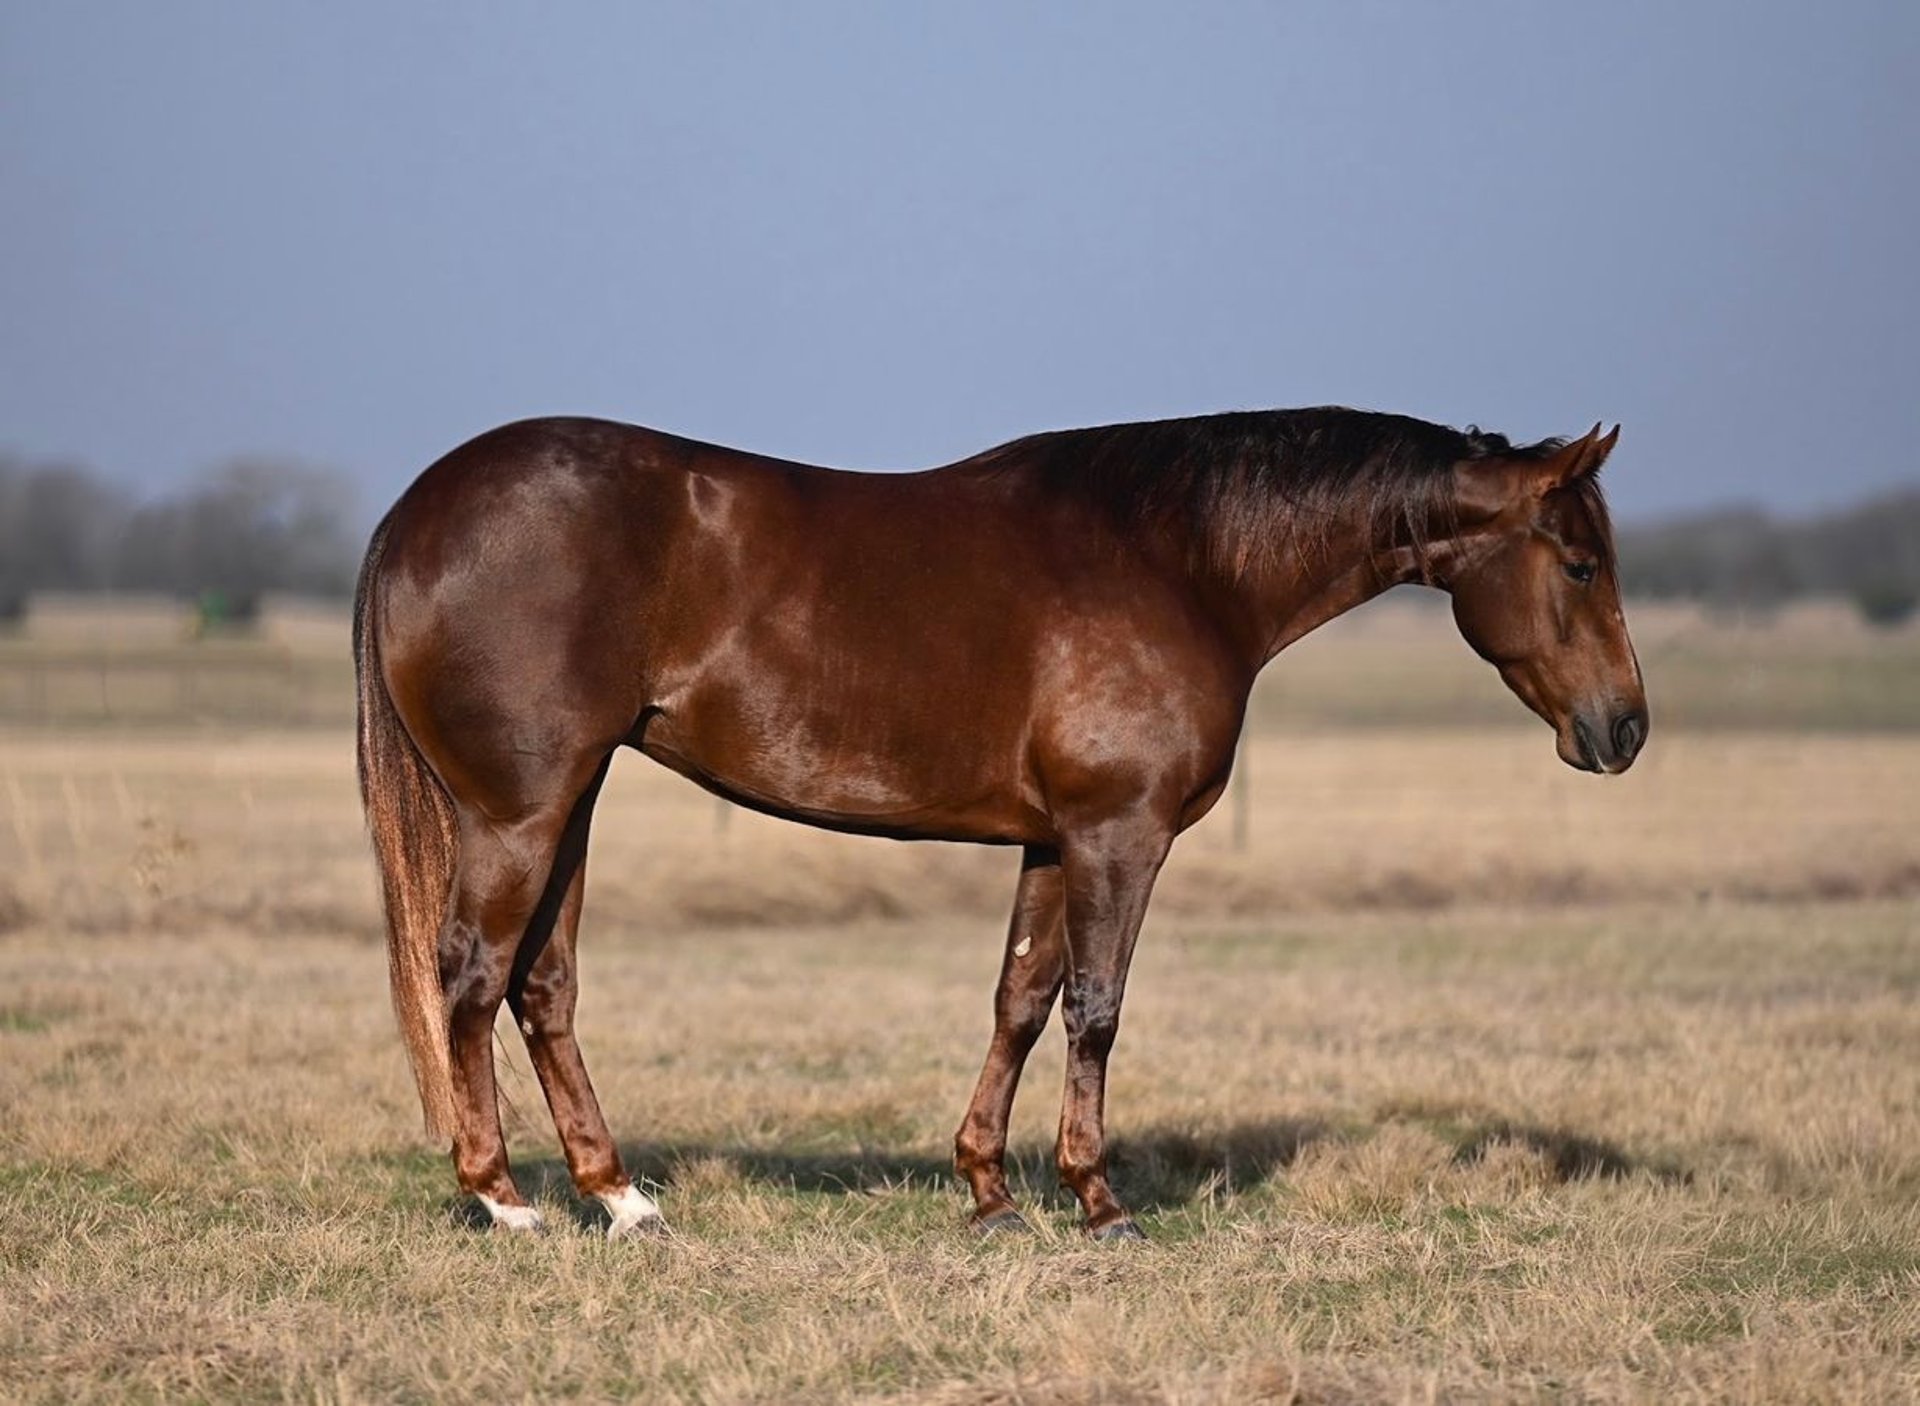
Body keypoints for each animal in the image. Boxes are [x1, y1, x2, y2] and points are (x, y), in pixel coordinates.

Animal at [353, 407, 1646, 1240]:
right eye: (1582, 564)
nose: (1625, 727)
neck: (1177, 560)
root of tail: (418, 507)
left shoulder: (1050, 839)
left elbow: (1020, 999)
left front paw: (990, 1190)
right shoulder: (1120, 832)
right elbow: (1096, 1008)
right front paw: (1098, 1200)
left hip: (568, 804)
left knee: (542, 984)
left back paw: (618, 1195)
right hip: (518, 812)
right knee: (471, 973)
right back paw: (503, 1196)